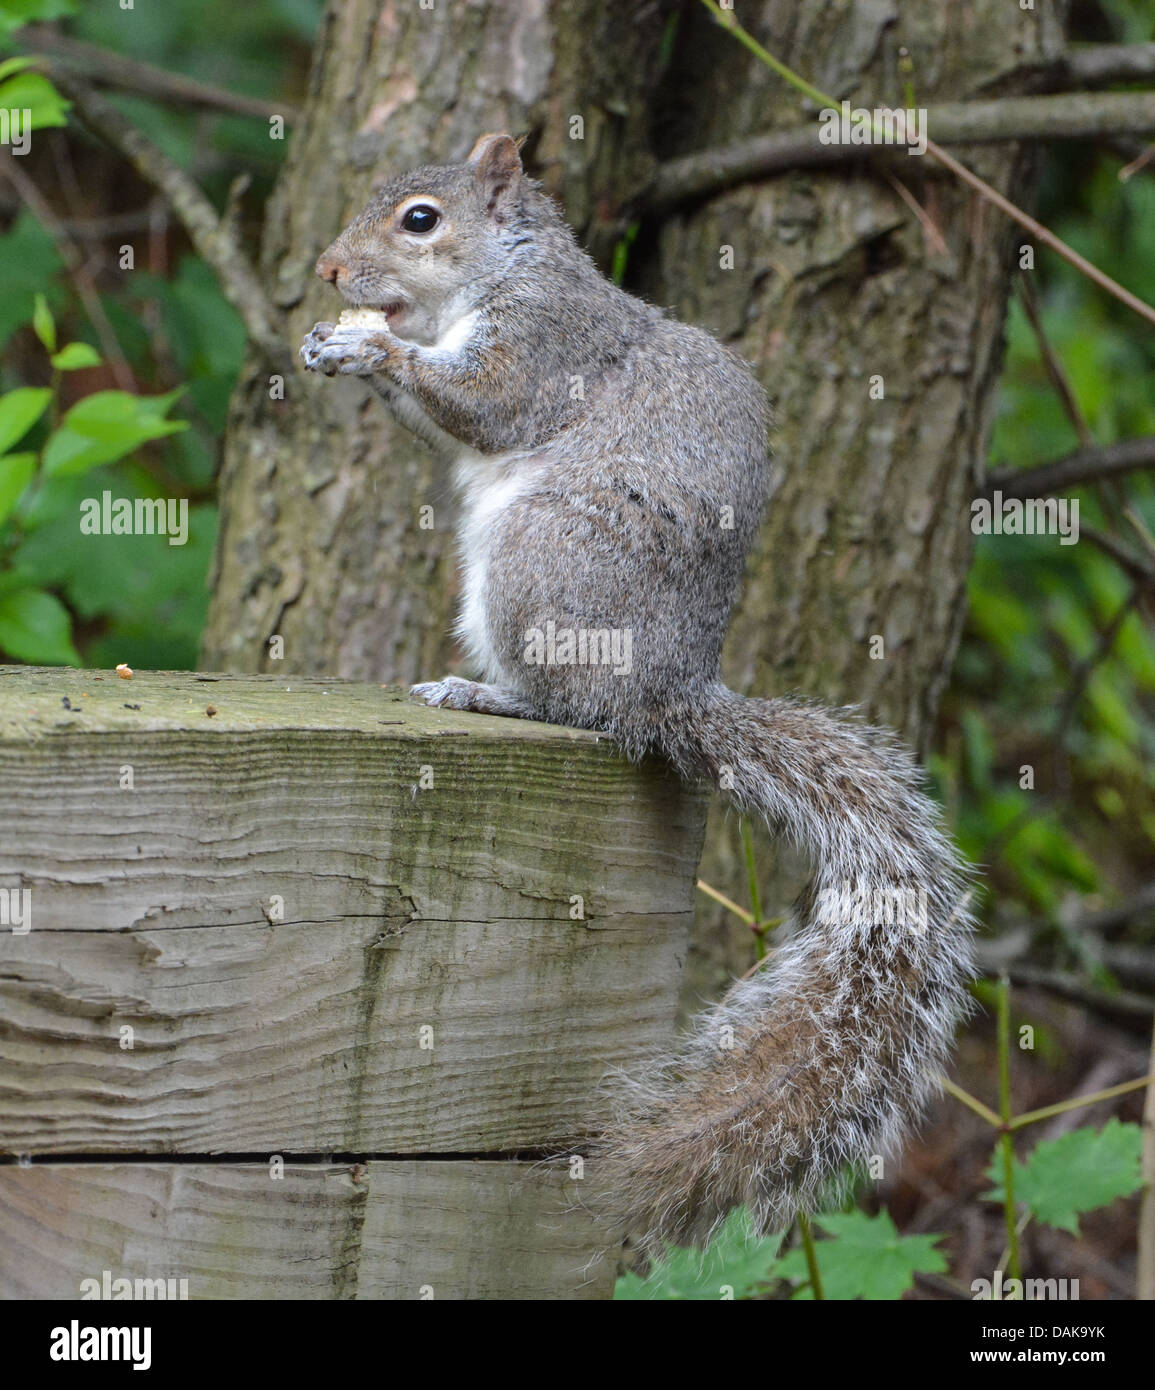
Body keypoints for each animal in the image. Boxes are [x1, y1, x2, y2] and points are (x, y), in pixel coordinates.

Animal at [300, 133, 975, 1254]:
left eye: (420, 220)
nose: (328, 273)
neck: (500, 275)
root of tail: (670, 693)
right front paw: (338, 346)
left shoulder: (545, 344)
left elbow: (488, 405)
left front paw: (372, 353)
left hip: (542, 567)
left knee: (580, 714)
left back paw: (492, 698)